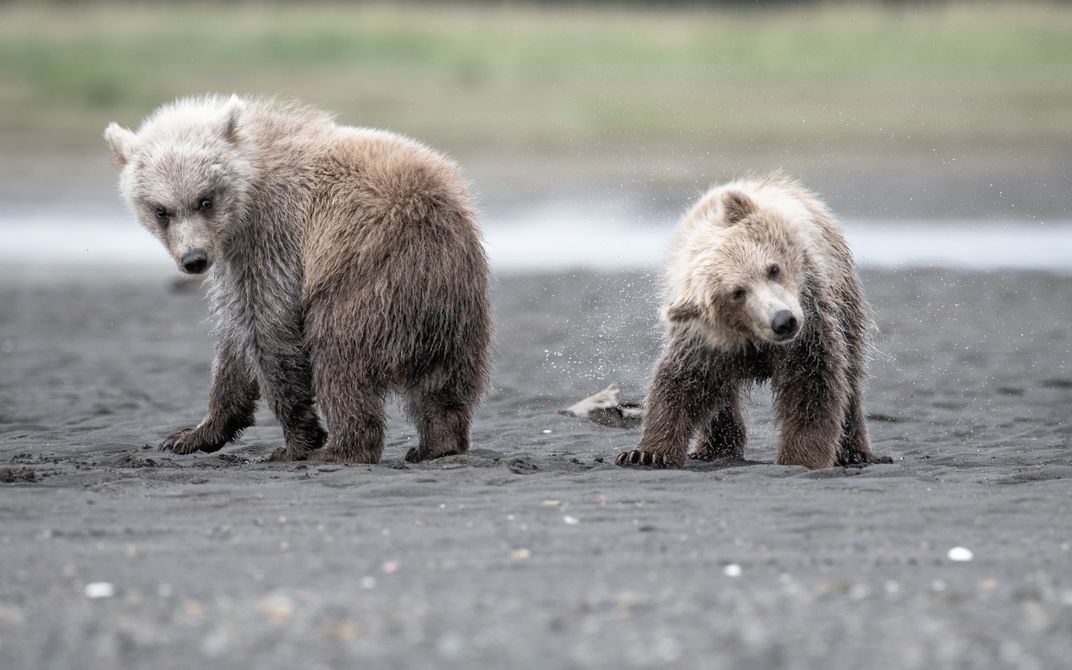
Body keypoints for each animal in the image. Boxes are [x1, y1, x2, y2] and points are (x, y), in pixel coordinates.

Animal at [104, 95, 491, 464]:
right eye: (161, 210)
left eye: (205, 200)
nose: (194, 259)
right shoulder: (234, 254)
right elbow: (234, 341)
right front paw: (192, 434)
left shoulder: (274, 235)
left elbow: (268, 326)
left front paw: (297, 440)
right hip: (455, 309)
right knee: (444, 386)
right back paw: (437, 445)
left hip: (369, 279)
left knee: (339, 358)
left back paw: (342, 449)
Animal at [616, 174, 879, 470]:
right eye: (737, 293)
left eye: (773, 269)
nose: (783, 320)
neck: (752, 336)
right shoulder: (702, 337)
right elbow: (680, 385)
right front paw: (646, 454)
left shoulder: (810, 323)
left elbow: (812, 384)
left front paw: (800, 458)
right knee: (724, 395)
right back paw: (714, 447)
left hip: (844, 297)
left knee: (851, 373)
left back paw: (854, 451)